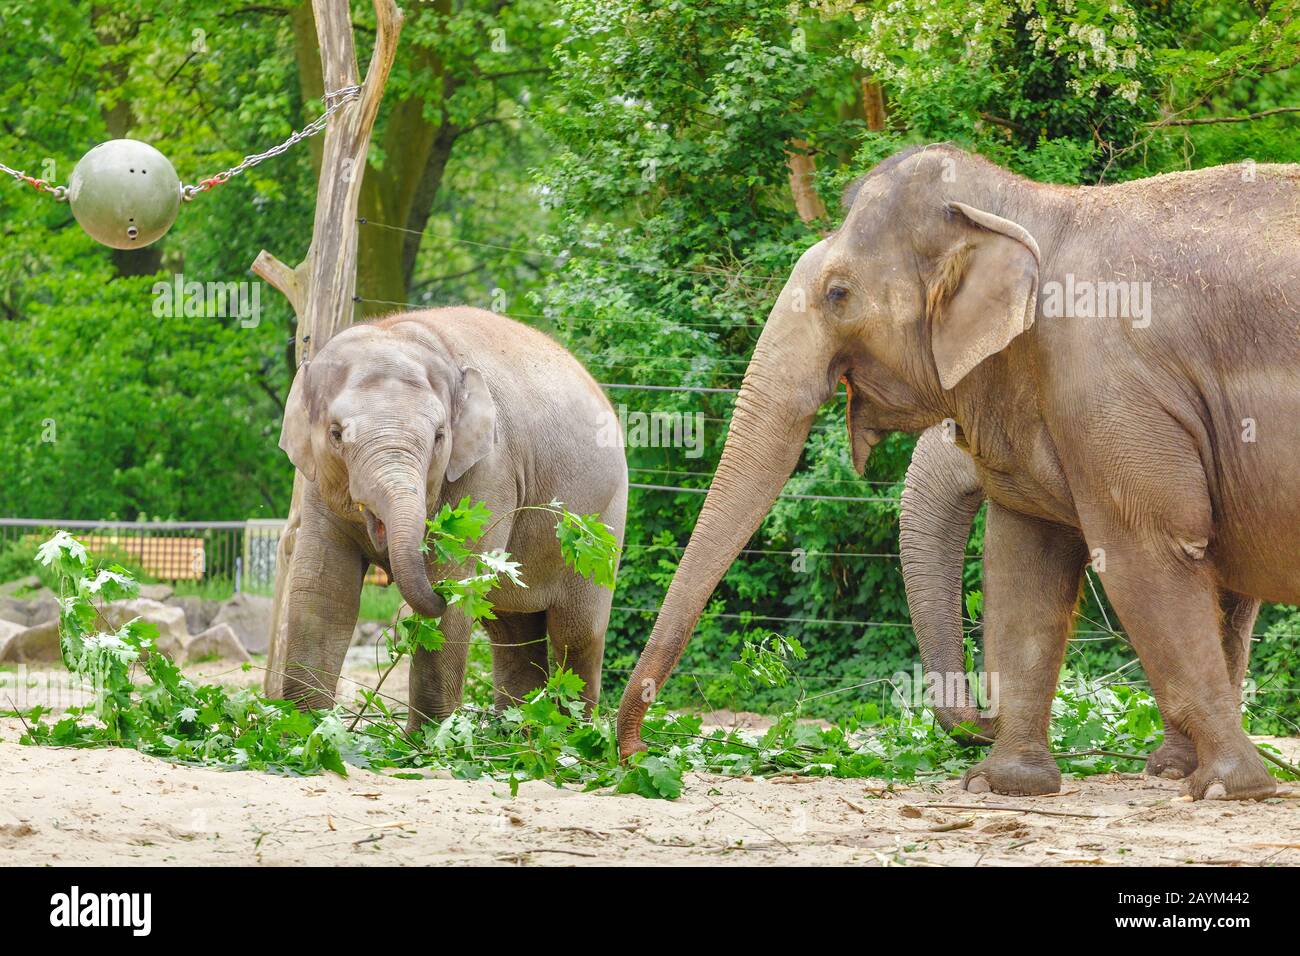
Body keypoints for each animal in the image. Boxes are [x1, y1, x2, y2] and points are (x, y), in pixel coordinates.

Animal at [276, 308, 627, 731]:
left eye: (440, 436)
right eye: (336, 434)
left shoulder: (490, 469)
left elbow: (457, 589)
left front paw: (425, 740)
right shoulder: (316, 483)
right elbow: (324, 592)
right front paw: (301, 730)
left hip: (604, 524)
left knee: (577, 632)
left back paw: (571, 735)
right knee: (512, 630)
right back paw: (518, 732)